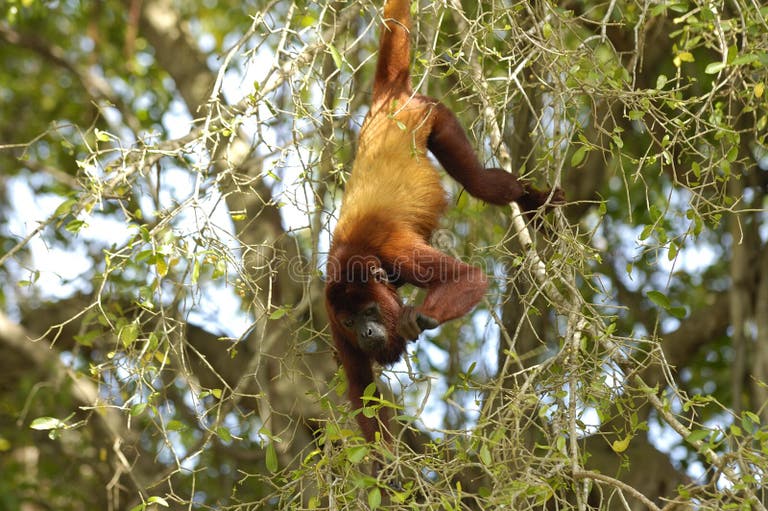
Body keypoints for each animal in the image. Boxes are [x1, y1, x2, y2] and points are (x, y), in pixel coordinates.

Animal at [324, 0, 563, 444]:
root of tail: (386, 101)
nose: (366, 334)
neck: (357, 257)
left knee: (481, 182)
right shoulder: (333, 322)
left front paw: (422, 316)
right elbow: (361, 392)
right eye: (351, 321)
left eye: (369, 312)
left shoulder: (396, 252)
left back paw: (531, 200)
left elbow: (469, 277)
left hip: (433, 114)